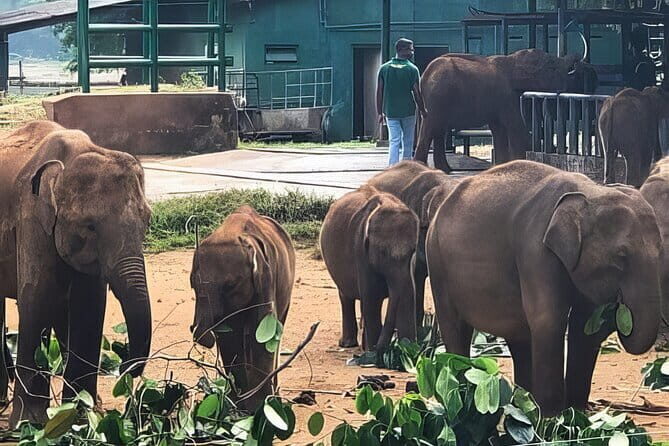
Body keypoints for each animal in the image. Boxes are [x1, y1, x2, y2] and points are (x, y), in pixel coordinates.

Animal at [0, 121, 153, 426]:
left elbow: (89, 307)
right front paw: (30, 423)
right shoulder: (30, 215)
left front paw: (81, 417)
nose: (125, 366)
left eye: (148, 221)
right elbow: (37, 298)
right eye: (90, 226)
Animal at [190, 205, 295, 411]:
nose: (194, 328)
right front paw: (235, 405)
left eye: (231, 286)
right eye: (193, 285)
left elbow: (262, 336)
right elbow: (229, 337)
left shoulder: (266, 277)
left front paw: (260, 407)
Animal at [320, 185, 419, 350]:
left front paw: (409, 351)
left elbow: (408, 299)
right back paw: (349, 344)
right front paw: (373, 352)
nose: (381, 348)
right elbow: (372, 299)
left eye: (413, 250)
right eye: (383, 252)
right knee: (346, 296)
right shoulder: (360, 251)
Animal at [414, 49, 597, 171]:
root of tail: (424, 75)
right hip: (437, 98)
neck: (513, 61)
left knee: (438, 129)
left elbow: (498, 130)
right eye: (551, 67)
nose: (579, 64)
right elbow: (515, 126)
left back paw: (444, 169)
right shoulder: (506, 96)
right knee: (431, 127)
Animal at [426, 160, 663, 416]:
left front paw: (575, 413)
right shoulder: (535, 250)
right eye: (621, 257)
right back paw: (462, 398)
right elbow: (548, 320)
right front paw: (552, 416)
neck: (590, 193)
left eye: (661, 251)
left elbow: (583, 327)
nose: (618, 307)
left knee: (518, 335)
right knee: (455, 326)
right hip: (437, 263)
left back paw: (523, 404)